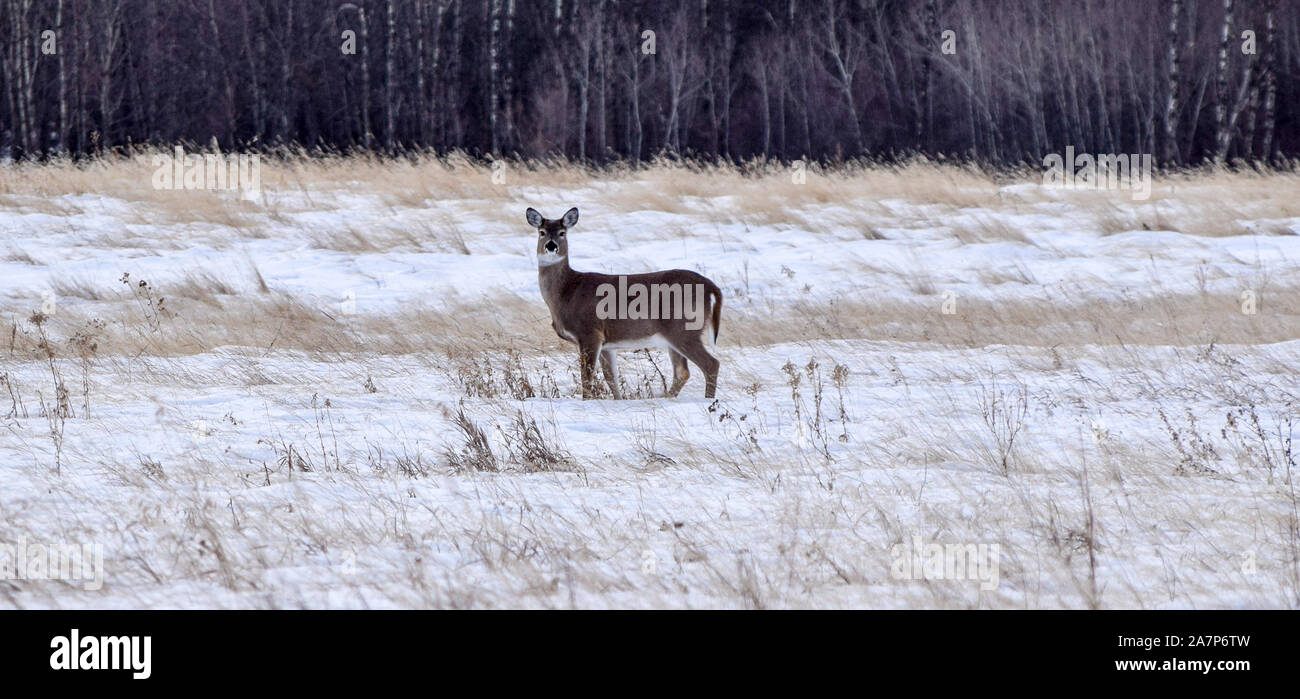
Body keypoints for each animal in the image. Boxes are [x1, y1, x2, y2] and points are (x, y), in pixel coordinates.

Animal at [528, 207, 722, 399]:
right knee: (682, 372)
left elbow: (587, 378)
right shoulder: (606, 342)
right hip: (674, 335)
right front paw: (619, 401)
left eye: (562, 233)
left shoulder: (589, 332)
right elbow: (610, 378)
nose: (551, 245)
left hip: (683, 328)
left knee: (710, 364)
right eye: (542, 232)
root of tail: (711, 287)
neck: (567, 292)